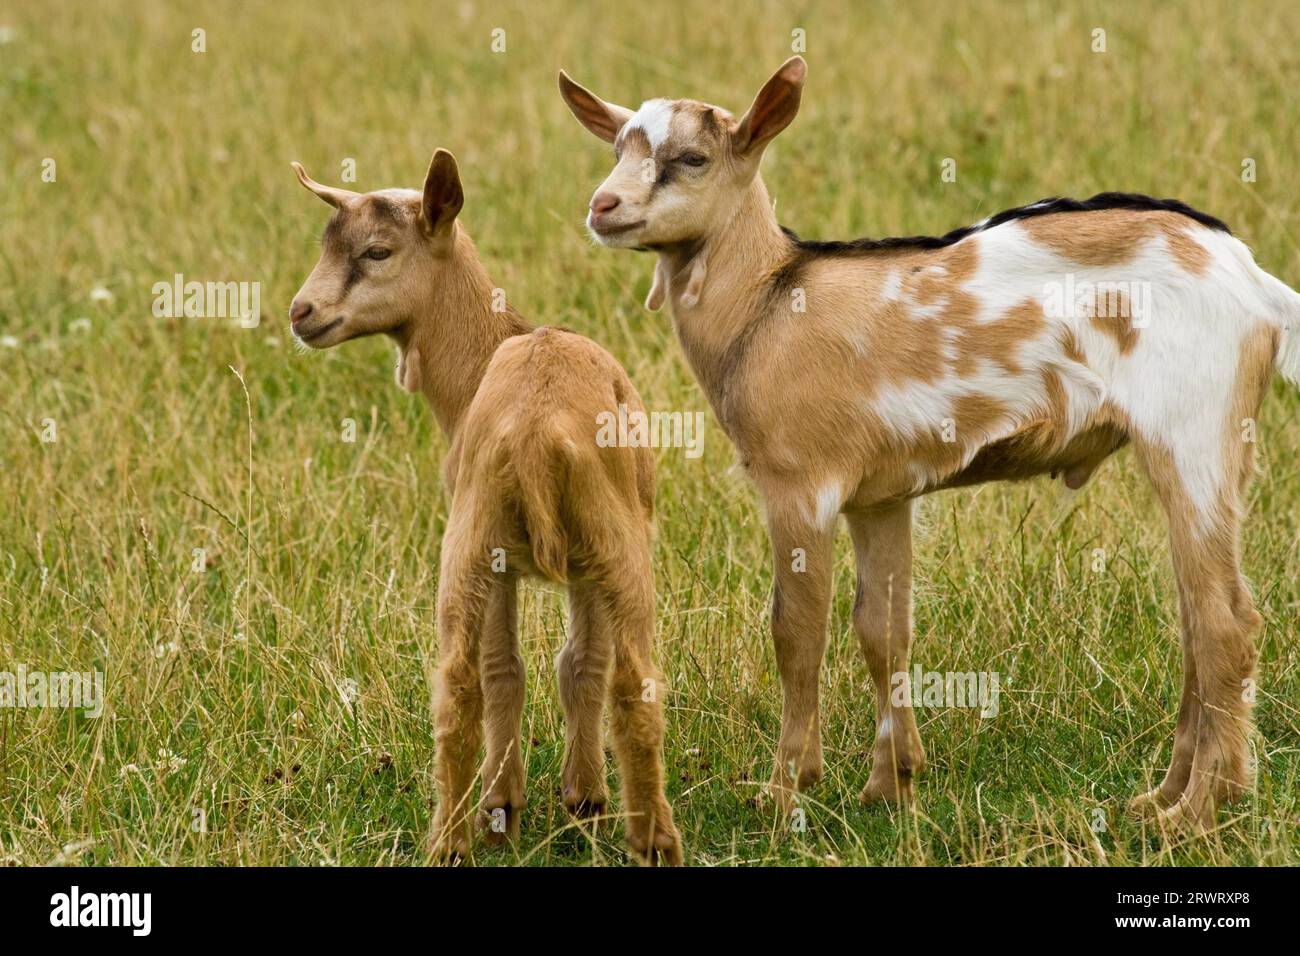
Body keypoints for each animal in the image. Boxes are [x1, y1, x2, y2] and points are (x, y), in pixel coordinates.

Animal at [289, 149, 682, 864]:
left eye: (377, 251)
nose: (300, 312)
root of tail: (537, 435)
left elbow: (536, 668)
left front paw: (542, 805)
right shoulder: (571, 565)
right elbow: (566, 666)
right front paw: (573, 801)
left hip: (482, 545)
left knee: (464, 684)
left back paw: (453, 841)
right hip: (589, 547)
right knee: (616, 685)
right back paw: (645, 841)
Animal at [559, 57, 1300, 832]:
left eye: (693, 159)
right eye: (618, 149)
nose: (604, 206)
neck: (769, 302)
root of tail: (1257, 286)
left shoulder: (799, 486)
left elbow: (797, 631)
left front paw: (785, 793)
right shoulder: (880, 498)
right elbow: (883, 629)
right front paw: (891, 785)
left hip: (1193, 438)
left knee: (1226, 623)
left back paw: (1198, 812)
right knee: (1197, 618)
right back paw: (1161, 798)